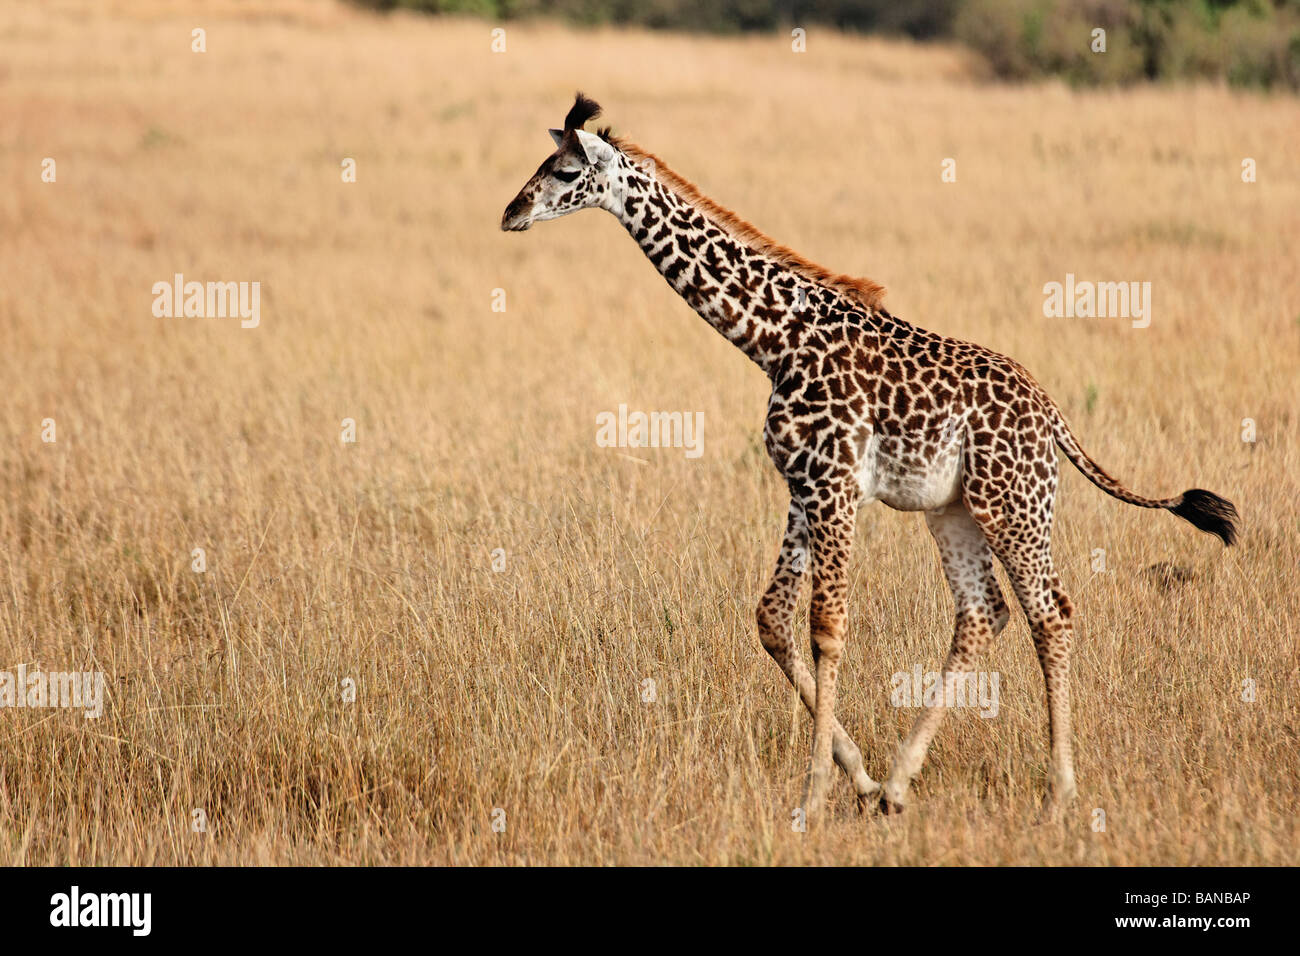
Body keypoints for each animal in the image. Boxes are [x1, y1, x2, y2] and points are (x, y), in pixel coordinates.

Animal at [502, 94, 1239, 822]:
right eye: (543, 162)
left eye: (566, 172)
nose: (510, 213)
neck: (776, 338)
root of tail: (1053, 416)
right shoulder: (803, 487)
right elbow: (773, 619)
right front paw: (855, 778)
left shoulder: (833, 485)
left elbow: (828, 627)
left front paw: (811, 798)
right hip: (954, 511)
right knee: (983, 611)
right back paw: (897, 785)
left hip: (1013, 506)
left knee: (1050, 612)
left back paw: (1059, 794)